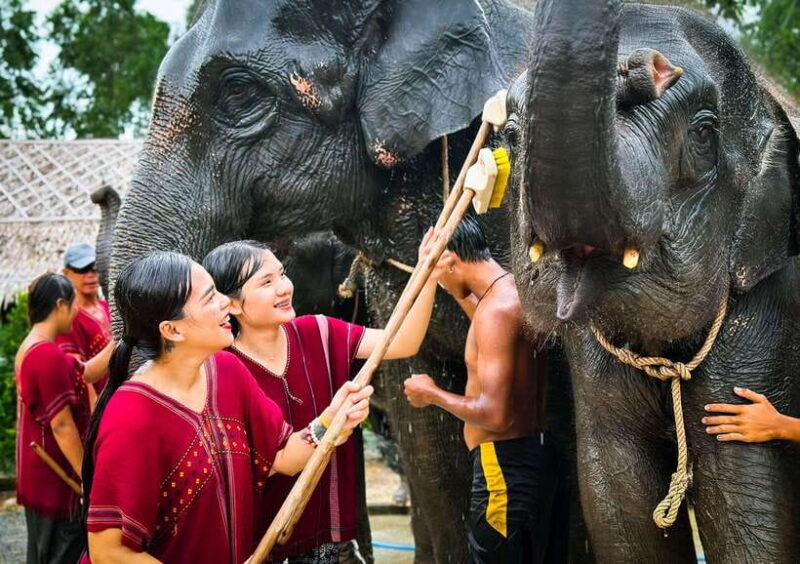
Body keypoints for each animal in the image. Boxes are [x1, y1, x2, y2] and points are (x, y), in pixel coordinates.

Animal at [506, 0, 800, 562]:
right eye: (511, 137)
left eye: (704, 134)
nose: (644, 68)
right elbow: (616, 496)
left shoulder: (767, 313)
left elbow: (746, 500)